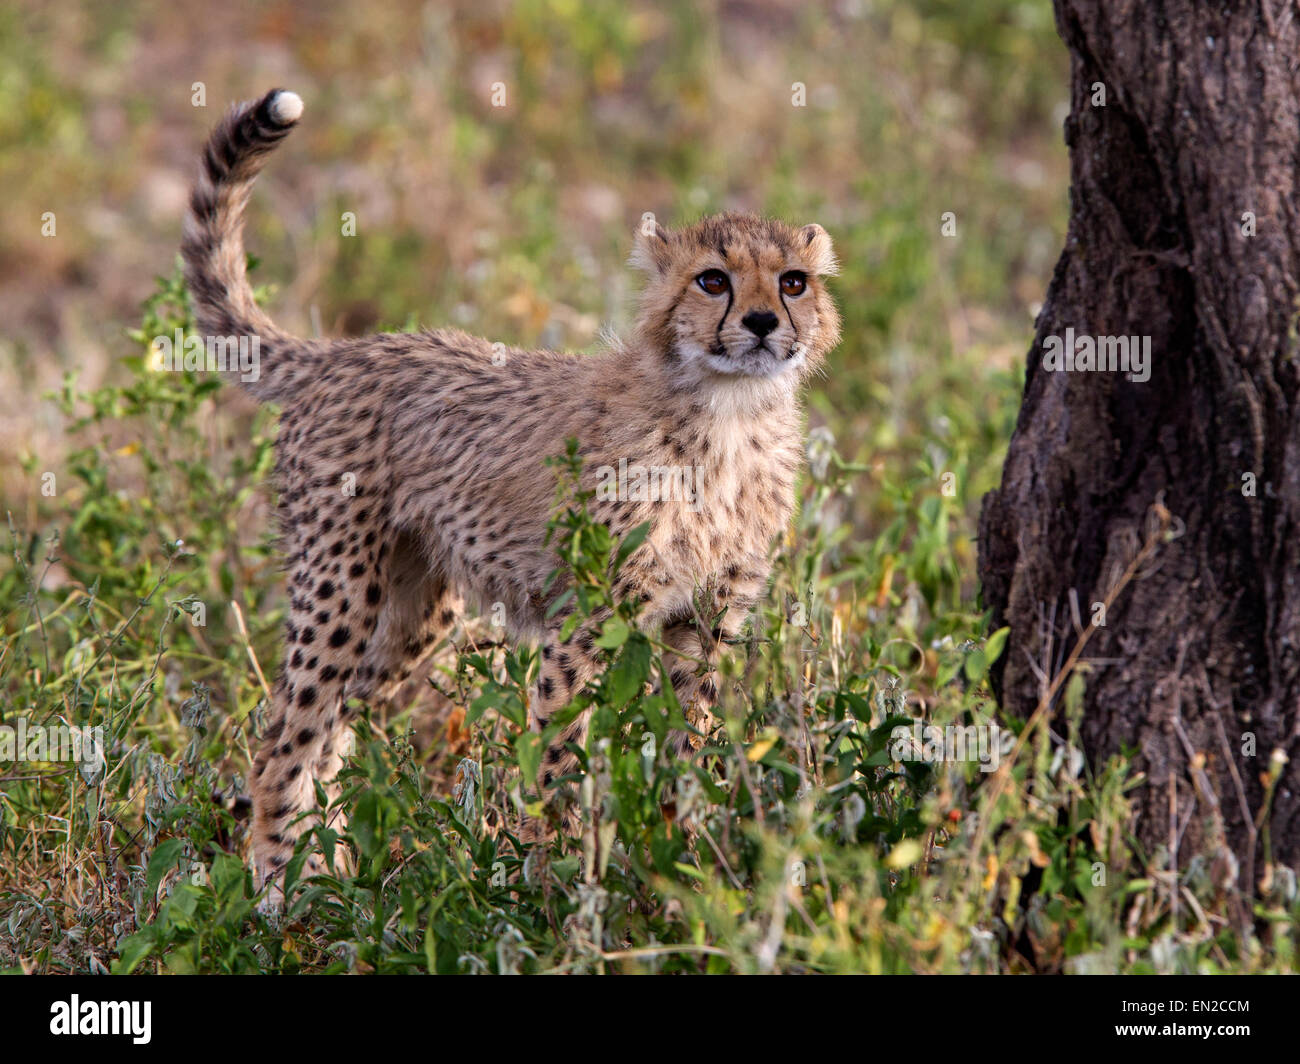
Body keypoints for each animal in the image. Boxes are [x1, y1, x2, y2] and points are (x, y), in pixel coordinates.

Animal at [179, 88, 841, 892]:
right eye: (713, 279)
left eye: (793, 281)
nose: (763, 321)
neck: (729, 414)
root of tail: (347, 349)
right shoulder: (587, 620)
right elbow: (560, 756)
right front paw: (552, 884)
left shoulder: (708, 618)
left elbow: (692, 747)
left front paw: (687, 864)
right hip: (340, 589)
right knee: (283, 737)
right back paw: (281, 891)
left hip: (412, 613)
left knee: (332, 726)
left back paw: (332, 873)